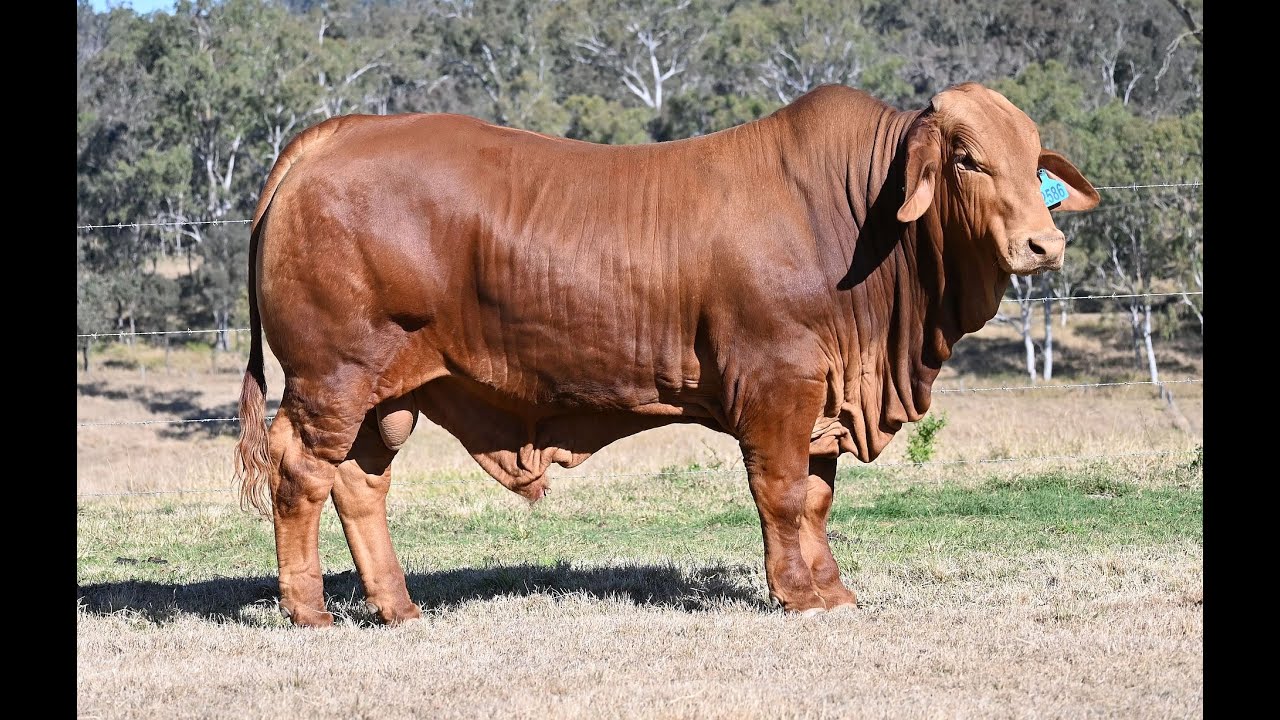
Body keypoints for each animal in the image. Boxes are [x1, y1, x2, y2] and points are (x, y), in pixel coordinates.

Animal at [234, 82, 1099, 627]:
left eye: (1034, 164)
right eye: (968, 159)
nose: (1044, 245)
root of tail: (335, 134)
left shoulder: (822, 400)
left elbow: (817, 500)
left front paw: (832, 590)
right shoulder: (778, 383)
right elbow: (781, 494)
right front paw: (797, 594)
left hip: (387, 396)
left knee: (360, 484)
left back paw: (399, 607)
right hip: (330, 380)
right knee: (301, 473)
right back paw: (310, 610)